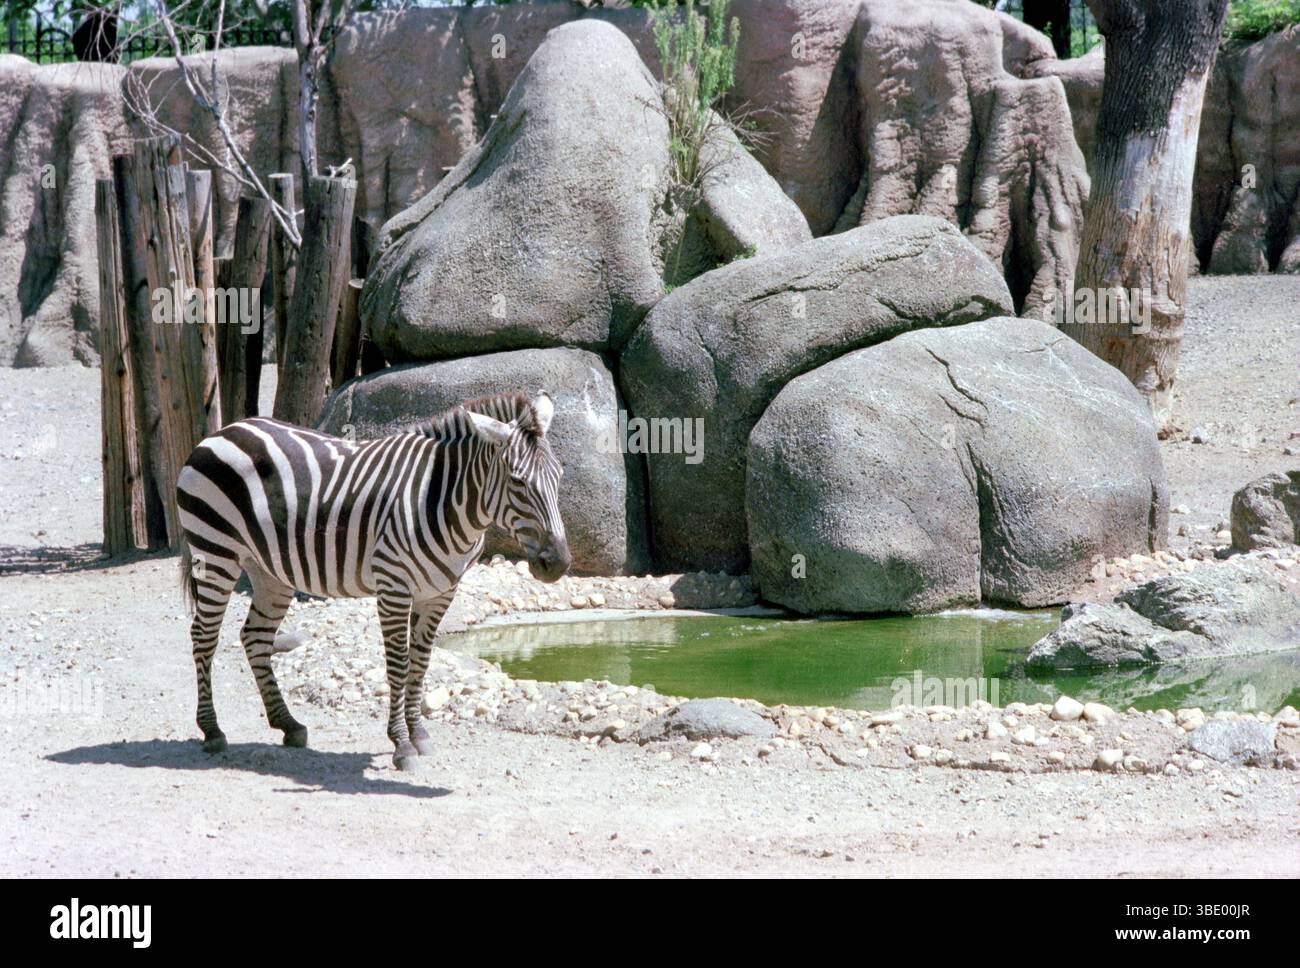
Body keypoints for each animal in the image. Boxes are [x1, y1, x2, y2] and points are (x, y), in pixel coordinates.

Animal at [176, 391, 570, 770]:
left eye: (560, 475)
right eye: (517, 481)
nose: (559, 563)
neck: (442, 500)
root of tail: (224, 431)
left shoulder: (441, 592)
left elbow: (421, 663)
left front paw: (419, 733)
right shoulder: (393, 586)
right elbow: (398, 664)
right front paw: (401, 744)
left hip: (268, 570)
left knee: (255, 637)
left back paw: (288, 723)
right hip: (215, 552)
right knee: (204, 636)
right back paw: (212, 730)